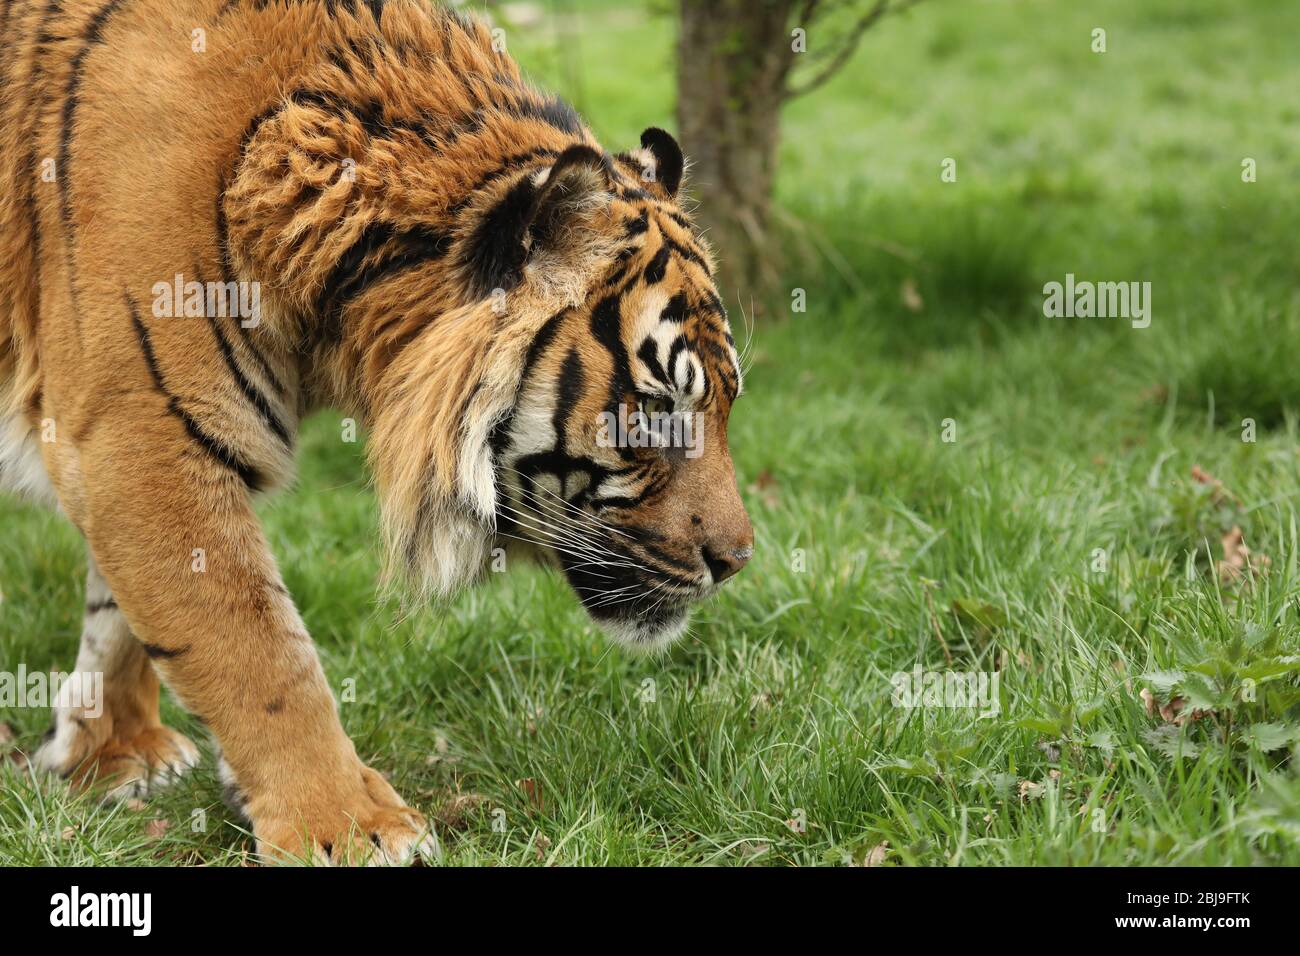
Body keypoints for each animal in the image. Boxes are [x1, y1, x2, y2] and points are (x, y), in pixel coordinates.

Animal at [0, 0, 752, 864]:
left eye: (726, 403)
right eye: (656, 410)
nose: (737, 562)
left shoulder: (119, 439)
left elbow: (119, 616)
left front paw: (110, 755)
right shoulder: (144, 435)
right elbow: (257, 652)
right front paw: (348, 827)